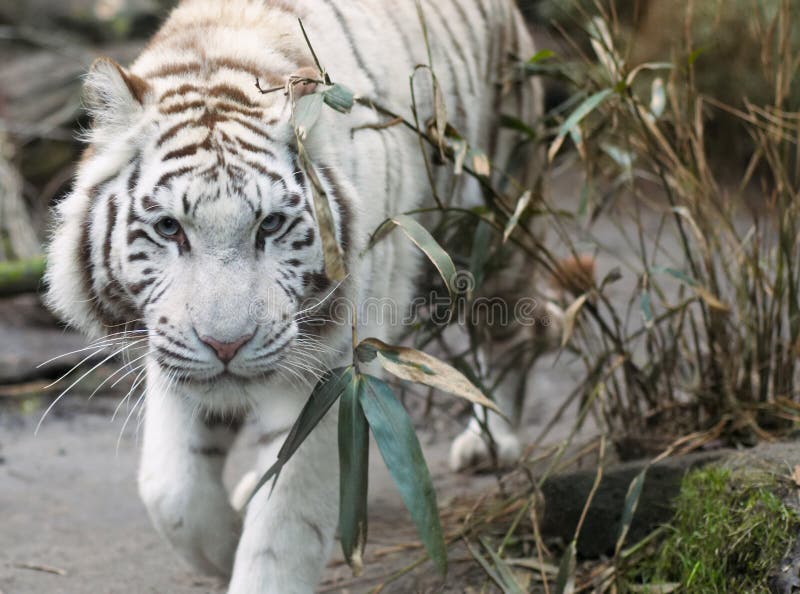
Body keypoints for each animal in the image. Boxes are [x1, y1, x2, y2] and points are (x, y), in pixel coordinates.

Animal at [44, 0, 555, 591]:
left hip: (488, 219)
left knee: (513, 327)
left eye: (269, 225)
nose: (227, 345)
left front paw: (251, 549)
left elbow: (283, 523)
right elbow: (172, 491)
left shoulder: (333, 376)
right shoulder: (171, 351)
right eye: (170, 228)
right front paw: (224, 544)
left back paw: (491, 438)